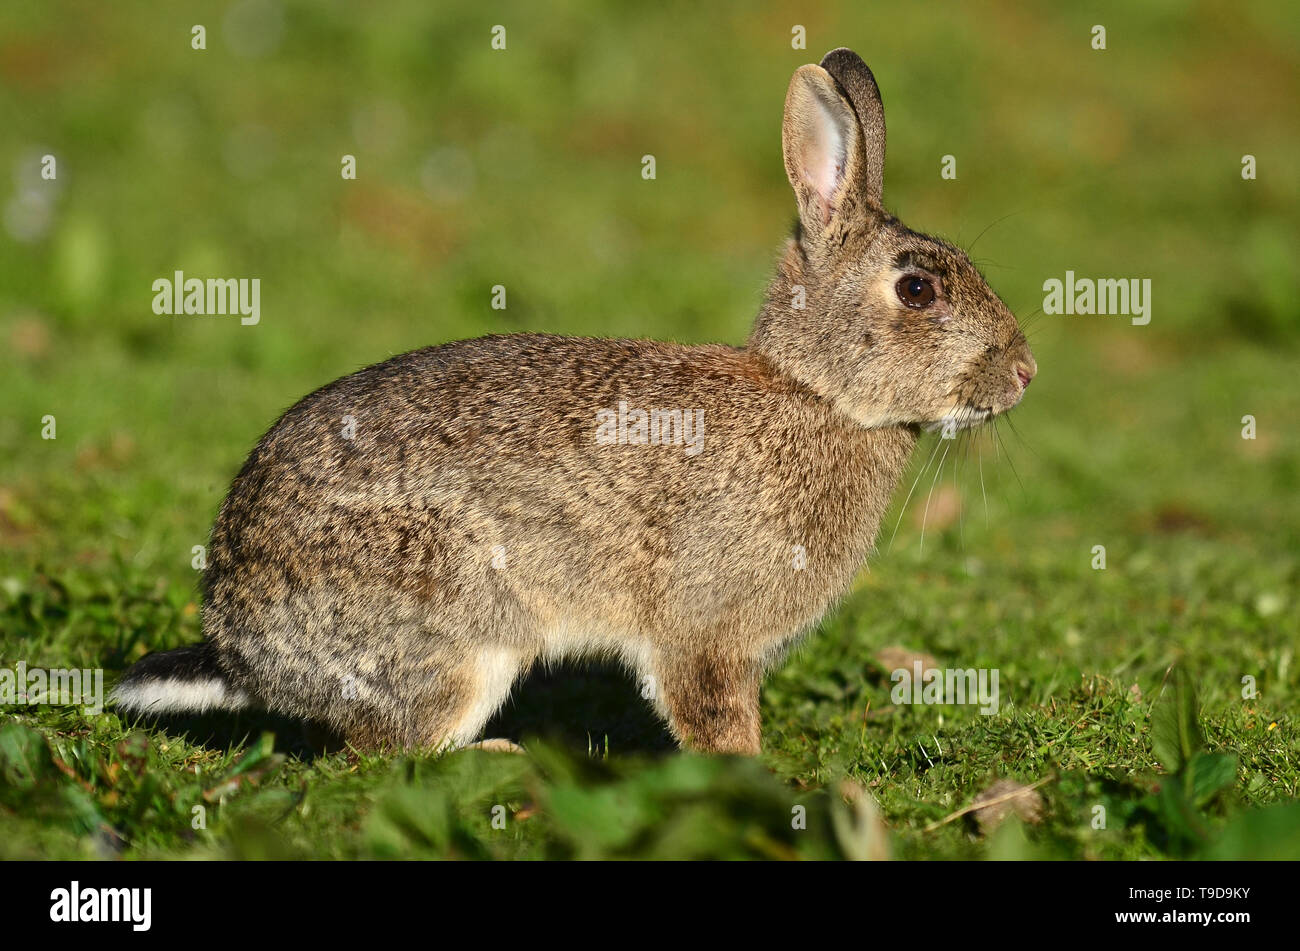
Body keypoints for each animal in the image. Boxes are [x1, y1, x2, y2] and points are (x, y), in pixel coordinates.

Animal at [111, 48, 1036, 755]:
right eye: (917, 290)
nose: (1025, 371)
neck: (818, 394)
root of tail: (240, 645)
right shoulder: (705, 631)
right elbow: (712, 712)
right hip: (461, 629)